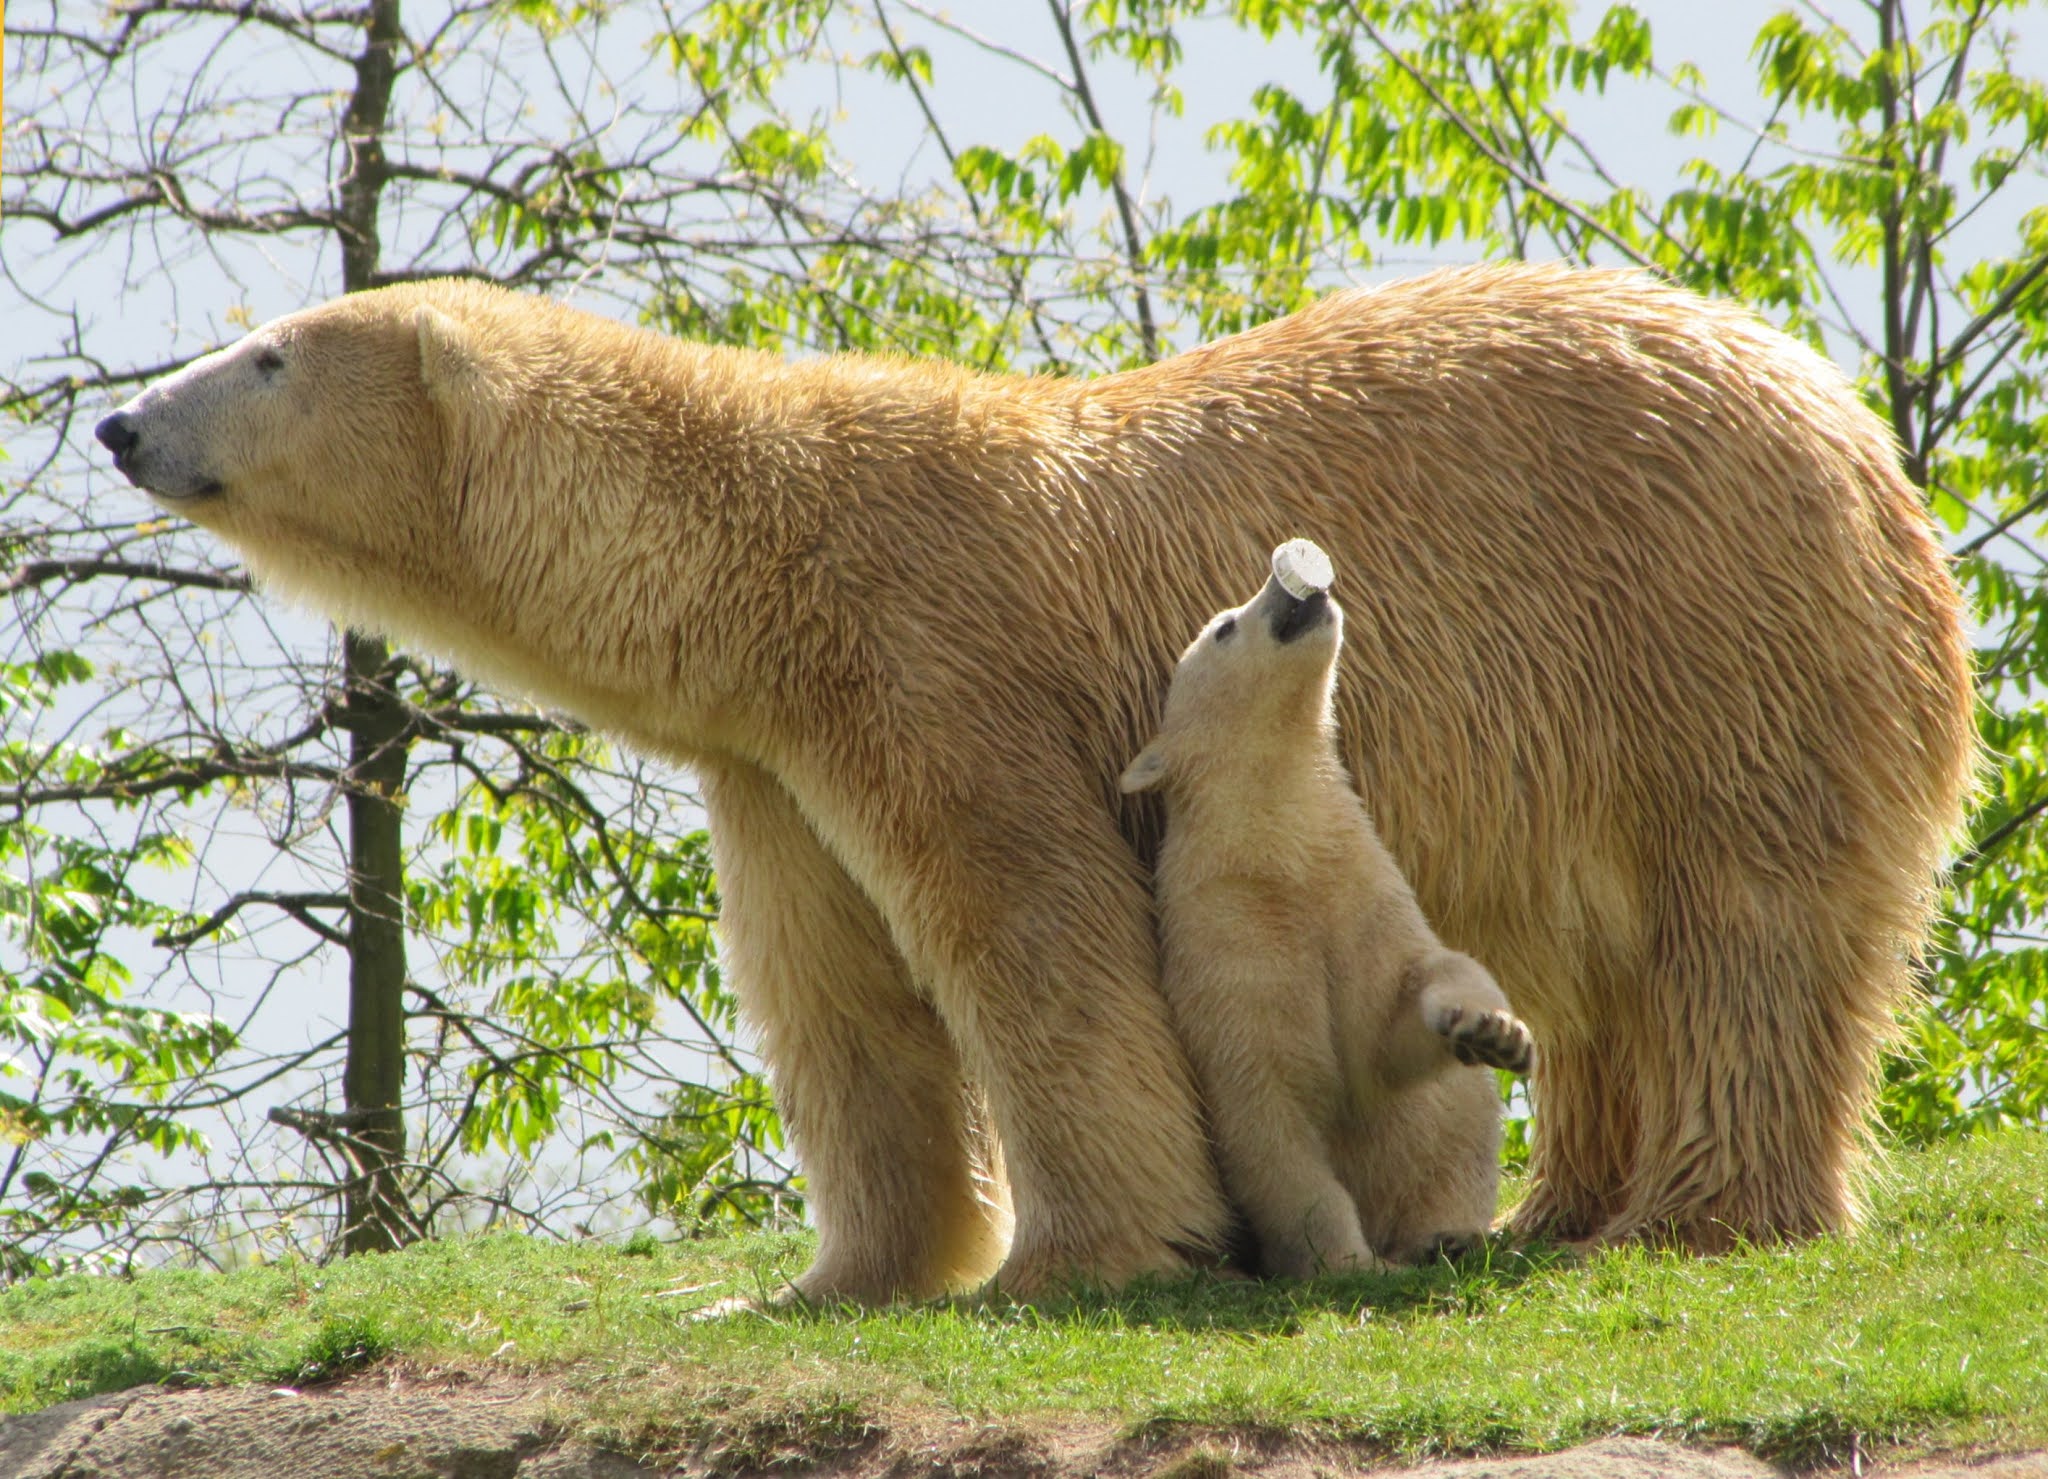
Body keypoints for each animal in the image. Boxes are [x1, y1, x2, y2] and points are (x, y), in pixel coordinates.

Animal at [1121, 538, 1535, 1276]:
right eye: (1224, 625)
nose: (1304, 590)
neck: (1279, 846)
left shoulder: (1356, 885)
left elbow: (1397, 1011)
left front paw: (1490, 1028)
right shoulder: (1230, 935)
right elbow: (1275, 1123)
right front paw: (1344, 1260)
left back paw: (1447, 1233)